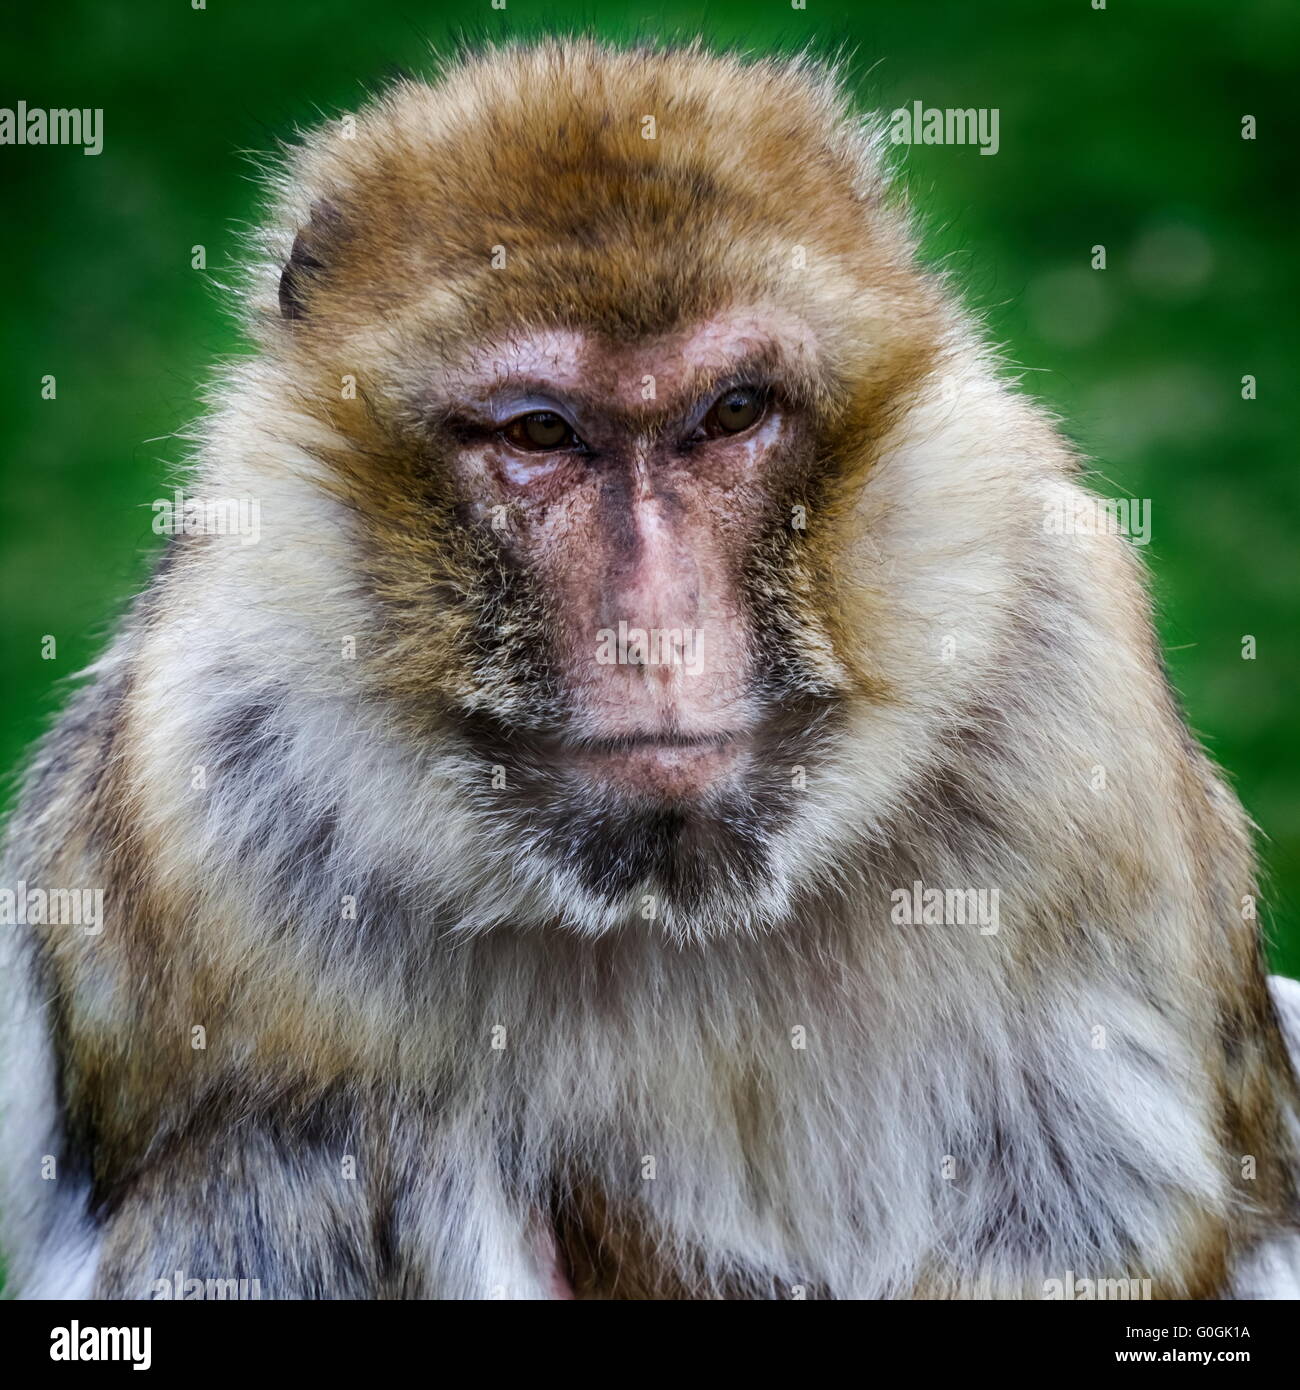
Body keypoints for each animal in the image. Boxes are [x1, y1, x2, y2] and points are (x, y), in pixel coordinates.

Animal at [1, 38, 1298, 1301]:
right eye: (539, 433)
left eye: (732, 413)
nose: (657, 629)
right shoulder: (205, 795)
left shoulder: (1073, 717)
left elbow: (1093, 1221)